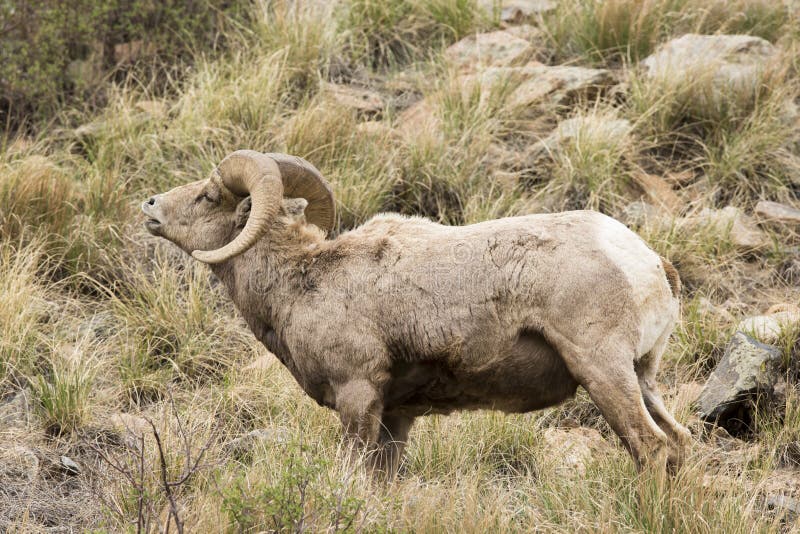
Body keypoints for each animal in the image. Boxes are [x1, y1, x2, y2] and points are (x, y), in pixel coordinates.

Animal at [141, 150, 690, 478]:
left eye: (208, 196)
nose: (149, 205)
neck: (301, 283)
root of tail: (649, 263)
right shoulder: (395, 417)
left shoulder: (358, 395)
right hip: (643, 378)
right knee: (678, 441)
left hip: (603, 371)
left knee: (652, 447)